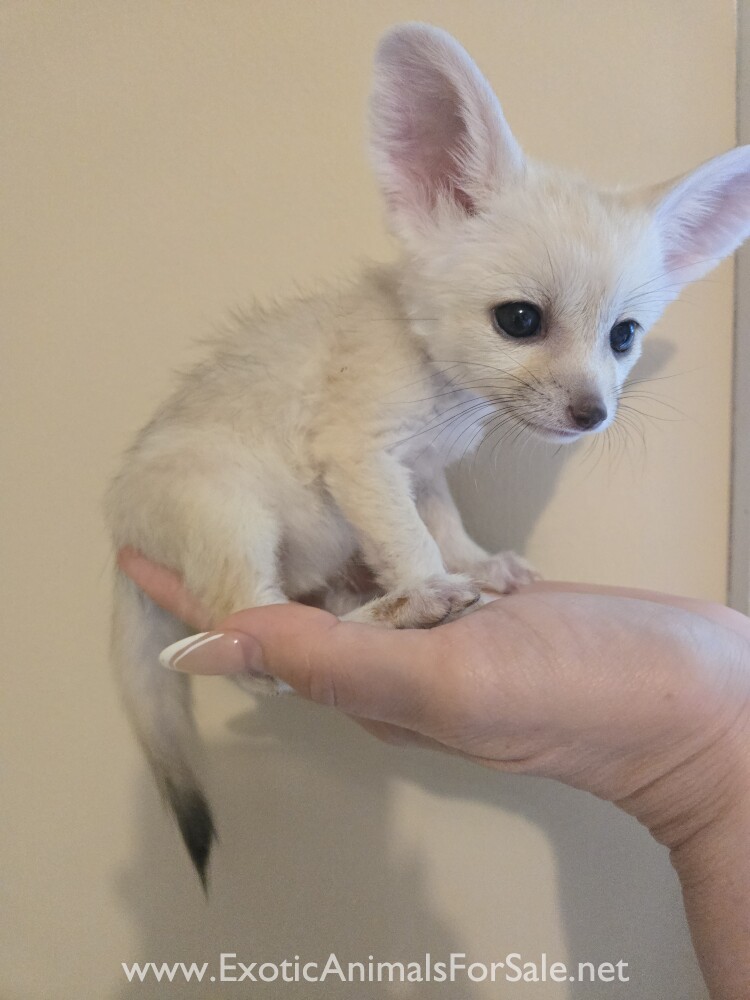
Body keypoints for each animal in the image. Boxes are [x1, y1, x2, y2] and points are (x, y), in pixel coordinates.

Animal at [107, 22, 750, 887]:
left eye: (624, 337)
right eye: (520, 319)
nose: (593, 415)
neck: (440, 385)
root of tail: (121, 526)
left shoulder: (423, 471)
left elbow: (444, 527)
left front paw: (478, 565)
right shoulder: (363, 456)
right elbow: (410, 540)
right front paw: (433, 584)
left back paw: (360, 600)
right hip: (233, 522)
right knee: (253, 639)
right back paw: (395, 611)